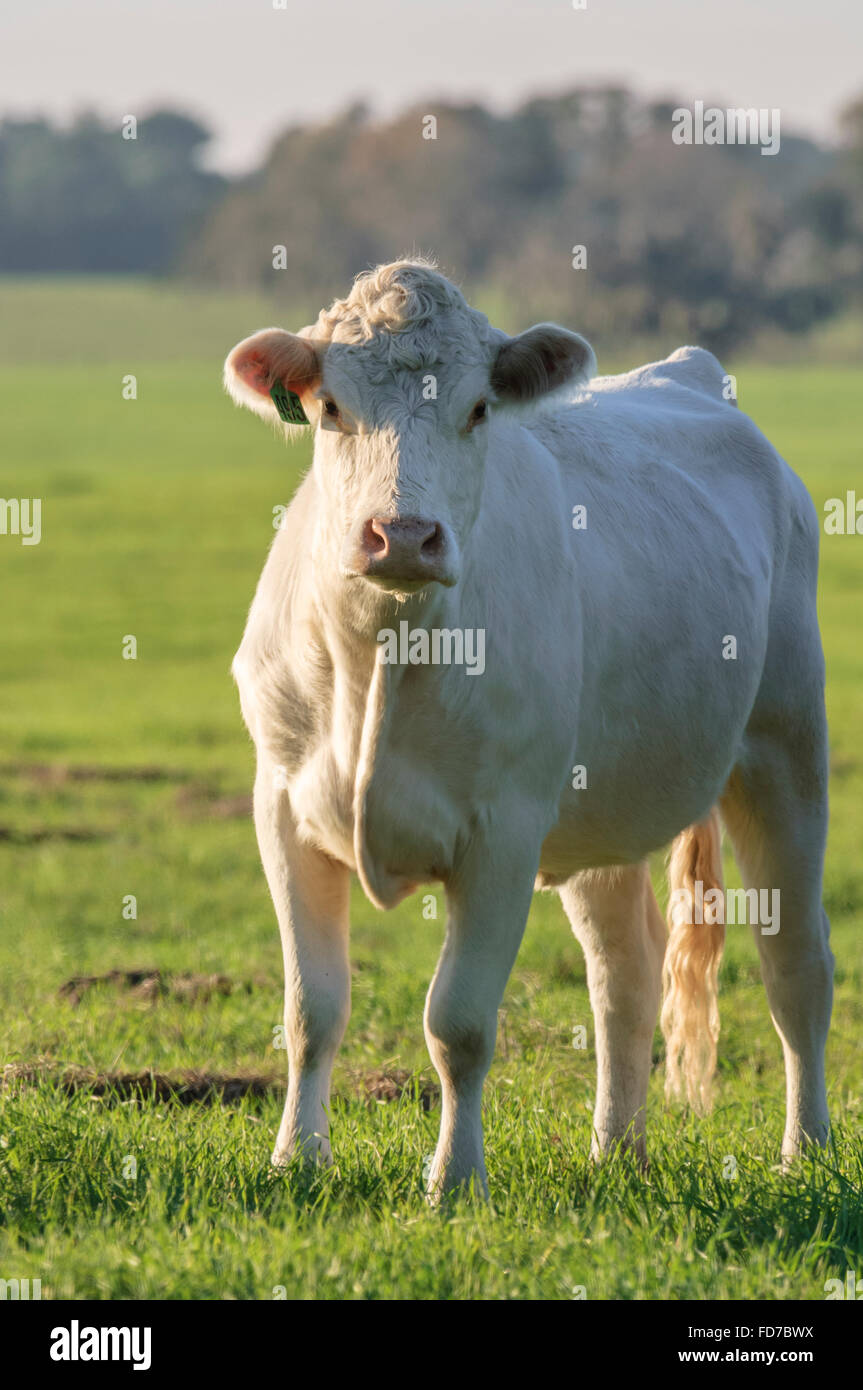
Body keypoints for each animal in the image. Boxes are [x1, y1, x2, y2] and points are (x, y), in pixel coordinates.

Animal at [224, 258, 833, 1198]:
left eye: (478, 408)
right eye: (329, 406)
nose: (403, 535)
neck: (385, 651)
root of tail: (686, 370)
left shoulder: (501, 831)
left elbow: (459, 1024)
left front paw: (454, 1181)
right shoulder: (283, 808)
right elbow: (311, 1009)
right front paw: (297, 1160)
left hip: (784, 747)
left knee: (794, 963)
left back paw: (806, 1154)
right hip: (598, 806)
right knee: (624, 973)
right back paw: (617, 1151)